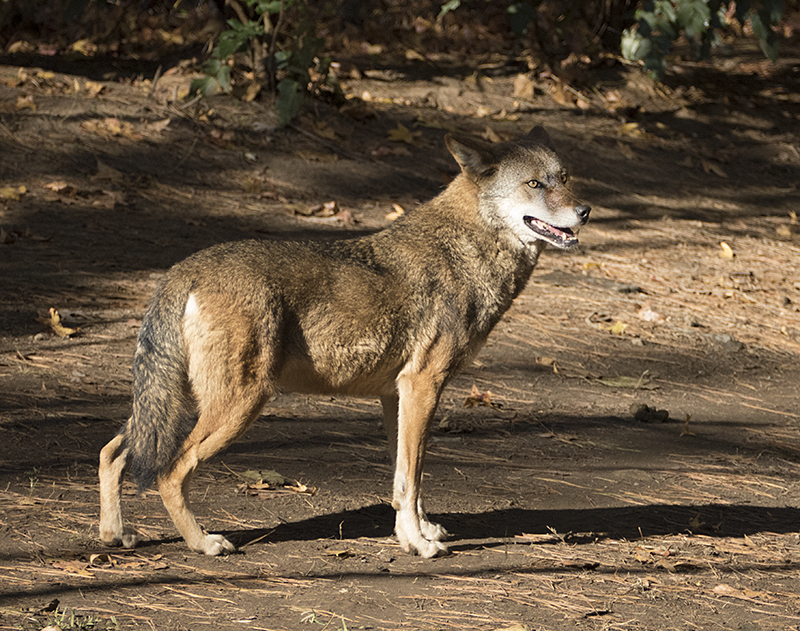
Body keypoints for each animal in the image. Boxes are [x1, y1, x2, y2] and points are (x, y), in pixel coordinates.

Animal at [99, 127, 591, 558]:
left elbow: (406, 479)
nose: (585, 211)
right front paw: (418, 545)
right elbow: (410, 478)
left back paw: (114, 535)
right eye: (534, 183)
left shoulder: (398, 397)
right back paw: (203, 543)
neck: (465, 250)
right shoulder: (422, 386)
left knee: (112, 451)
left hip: (175, 404)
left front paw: (419, 529)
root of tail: (184, 268)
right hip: (238, 405)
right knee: (169, 472)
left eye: (565, 178)